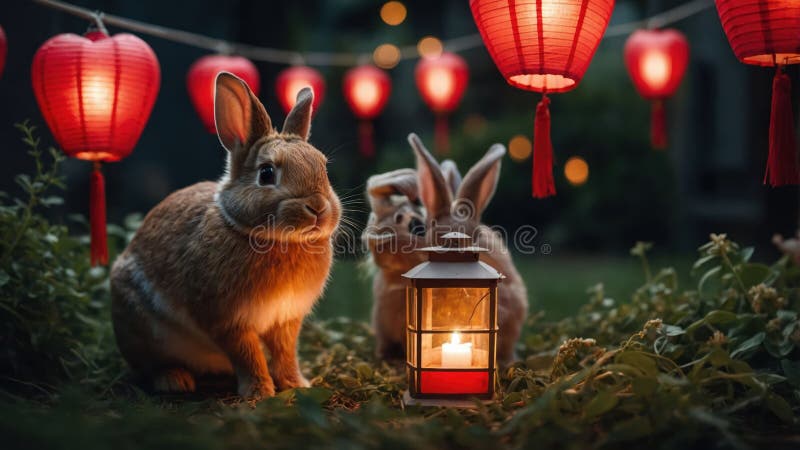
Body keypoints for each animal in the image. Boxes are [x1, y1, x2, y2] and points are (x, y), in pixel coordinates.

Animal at [110, 72, 341, 401]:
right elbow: (248, 355)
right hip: (141, 327)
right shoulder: (227, 321)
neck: (277, 240)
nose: (318, 207)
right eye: (266, 173)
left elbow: (285, 353)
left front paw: (296, 384)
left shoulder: (286, 319)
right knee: (152, 364)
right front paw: (259, 392)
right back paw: (175, 380)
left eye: (323, 167)